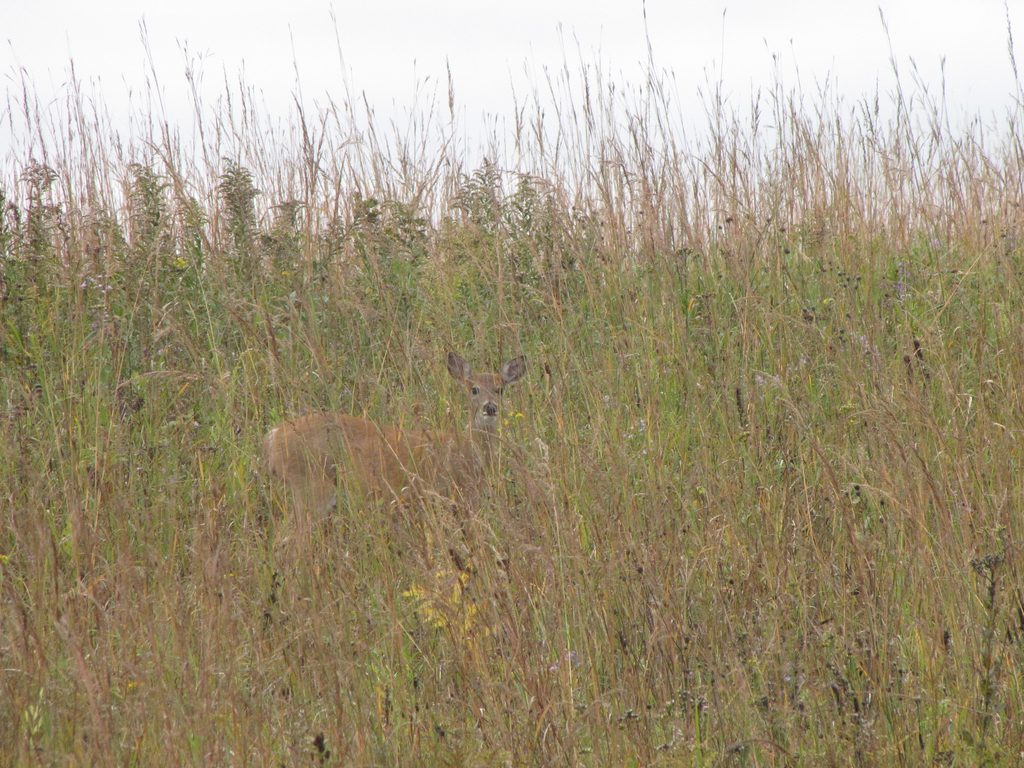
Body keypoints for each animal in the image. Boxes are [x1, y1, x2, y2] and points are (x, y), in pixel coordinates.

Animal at [264, 351, 527, 517]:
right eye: (474, 389)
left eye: (500, 389)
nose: (490, 408)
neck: (466, 451)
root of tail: (274, 437)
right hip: (310, 486)